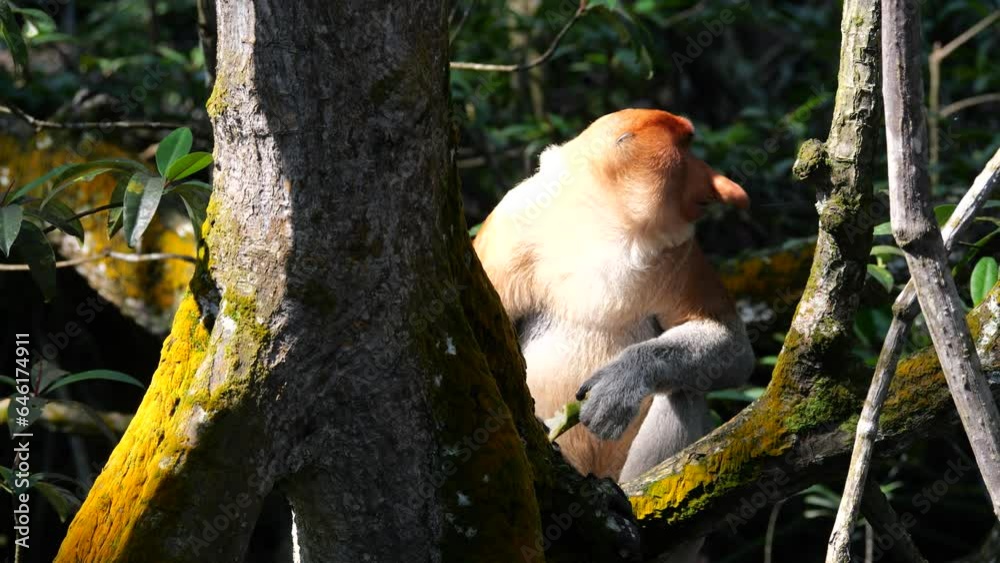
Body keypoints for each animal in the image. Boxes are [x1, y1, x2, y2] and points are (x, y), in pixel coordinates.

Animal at [472, 109, 754, 487]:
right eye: (686, 147)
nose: (721, 184)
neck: (603, 220)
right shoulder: (508, 224)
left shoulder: (681, 252)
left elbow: (734, 346)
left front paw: (624, 379)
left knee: (683, 392)